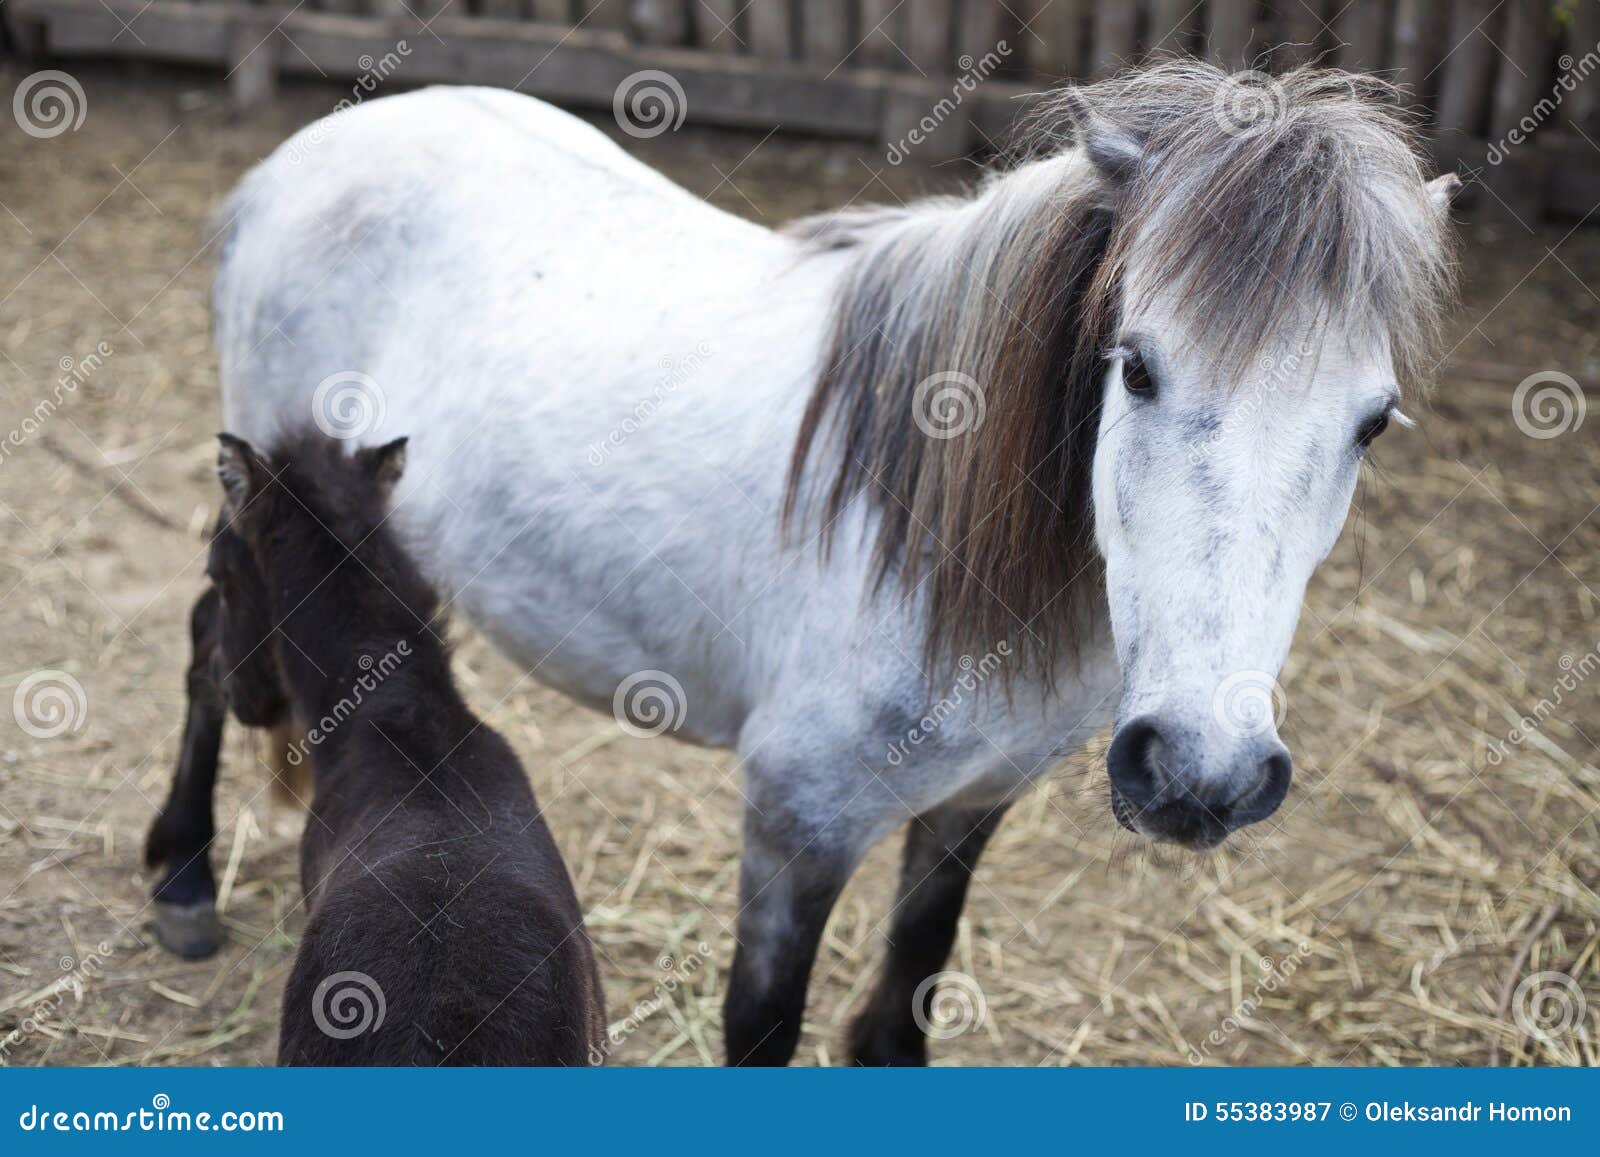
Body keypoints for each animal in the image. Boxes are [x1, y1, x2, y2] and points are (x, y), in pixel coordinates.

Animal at [147, 60, 1457, 1065]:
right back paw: (181, 879)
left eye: (1372, 421)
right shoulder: (797, 825)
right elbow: (764, 1026)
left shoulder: (972, 801)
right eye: (1136, 367)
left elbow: (908, 988)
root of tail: (302, 157)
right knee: (210, 648)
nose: (1201, 772)